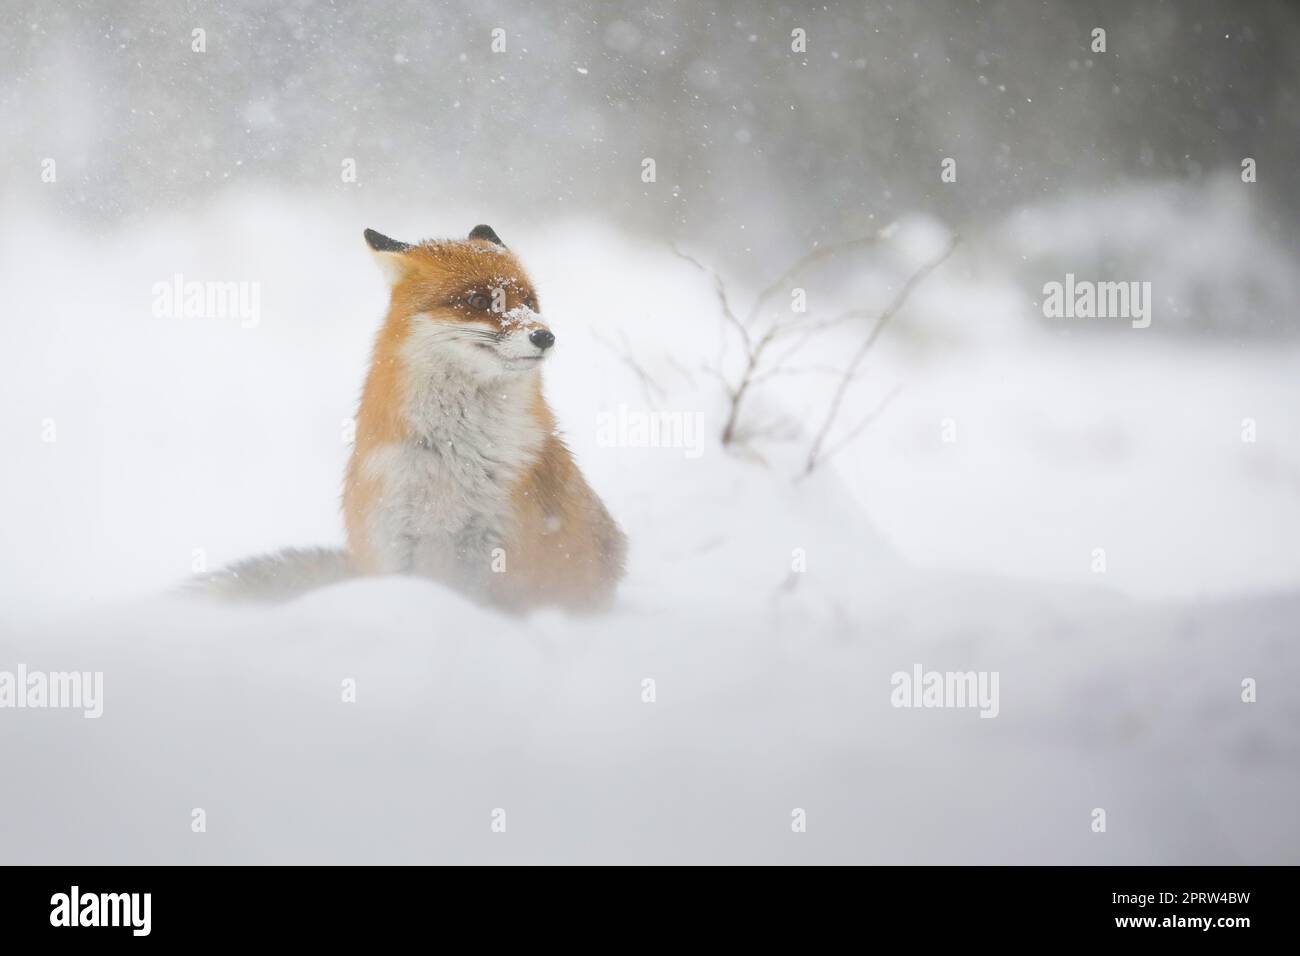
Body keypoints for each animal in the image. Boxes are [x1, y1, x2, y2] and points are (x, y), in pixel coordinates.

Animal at [194, 224, 626, 611]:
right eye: (479, 300)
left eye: (530, 302)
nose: (545, 336)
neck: (455, 455)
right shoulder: (393, 544)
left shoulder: (504, 552)